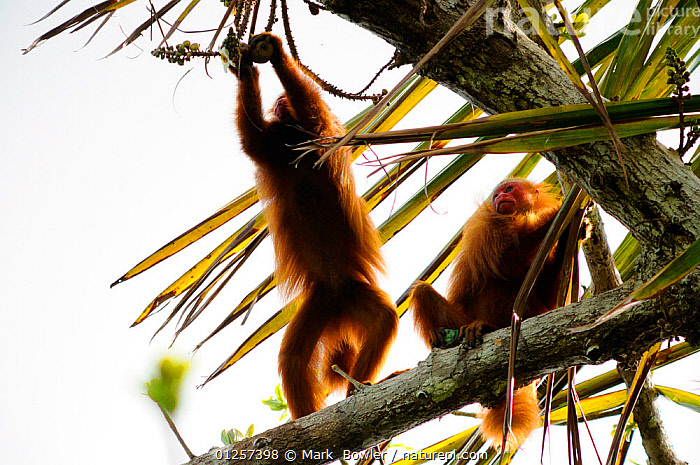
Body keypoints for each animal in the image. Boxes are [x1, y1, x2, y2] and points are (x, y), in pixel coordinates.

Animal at [232, 33, 398, 419]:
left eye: (282, 101)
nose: (279, 104)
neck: (296, 148)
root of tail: (338, 301)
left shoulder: (321, 130)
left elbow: (308, 106)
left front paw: (276, 53)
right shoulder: (272, 147)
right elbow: (252, 139)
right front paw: (246, 68)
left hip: (352, 290)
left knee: (384, 319)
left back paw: (360, 387)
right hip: (321, 300)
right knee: (291, 358)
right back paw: (306, 415)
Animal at [410, 178, 566, 449]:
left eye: (508, 190)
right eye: (496, 195)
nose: (498, 198)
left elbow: (549, 294)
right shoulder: (487, 223)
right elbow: (507, 261)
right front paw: (559, 212)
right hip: (459, 319)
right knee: (429, 290)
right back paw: (474, 331)